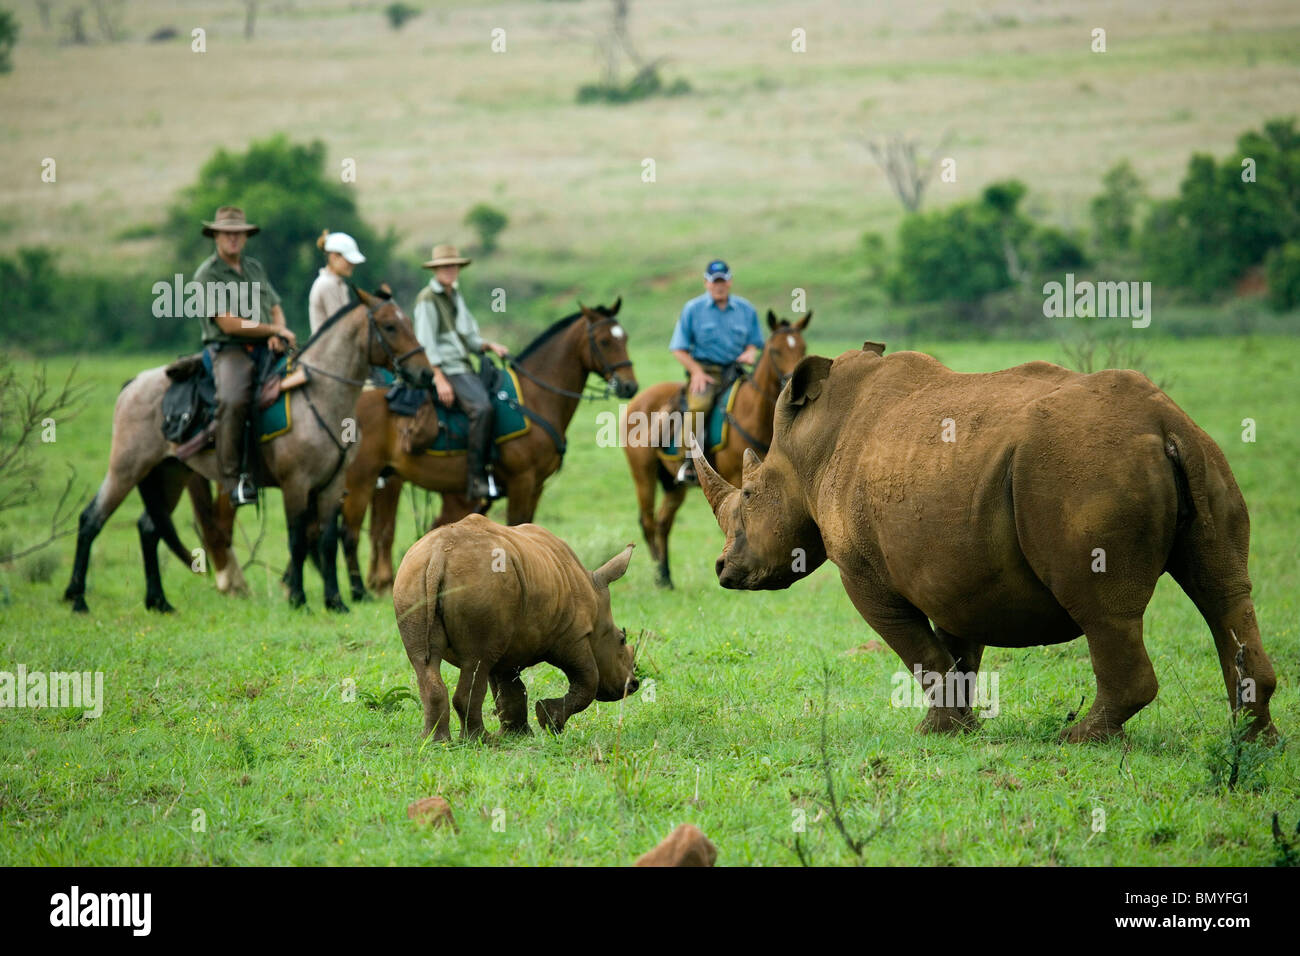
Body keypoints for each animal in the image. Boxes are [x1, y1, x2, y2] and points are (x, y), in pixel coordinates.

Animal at [62, 290, 434, 615]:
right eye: (390, 326)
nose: (426, 373)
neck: (321, 398)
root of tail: (133, 384)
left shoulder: (332, 484)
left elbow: (327, 541)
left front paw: (335, 601)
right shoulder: (295, 484)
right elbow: (298, 540)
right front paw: (298, 599)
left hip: (169, 473)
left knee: (149, 528)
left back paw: (159, 602)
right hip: (126, 468)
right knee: (91, 520)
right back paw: (78, 599)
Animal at [341, 299, 639, 600]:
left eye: (625, 338)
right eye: (604, 341)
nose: (629, 385)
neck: (535, 398)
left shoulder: (536, 485)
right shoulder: (522, 480)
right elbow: (516, 523)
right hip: (362, 479)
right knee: (350, 532)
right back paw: (359, 591)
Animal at [622, 310, 811, 588]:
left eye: (802, 347)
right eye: (775, 350)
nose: (795, 384)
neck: (755, 414)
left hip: (674, 484)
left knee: (664, 522)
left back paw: (666, 576)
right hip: (643, 473)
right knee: (648, 521)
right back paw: (659, 575)